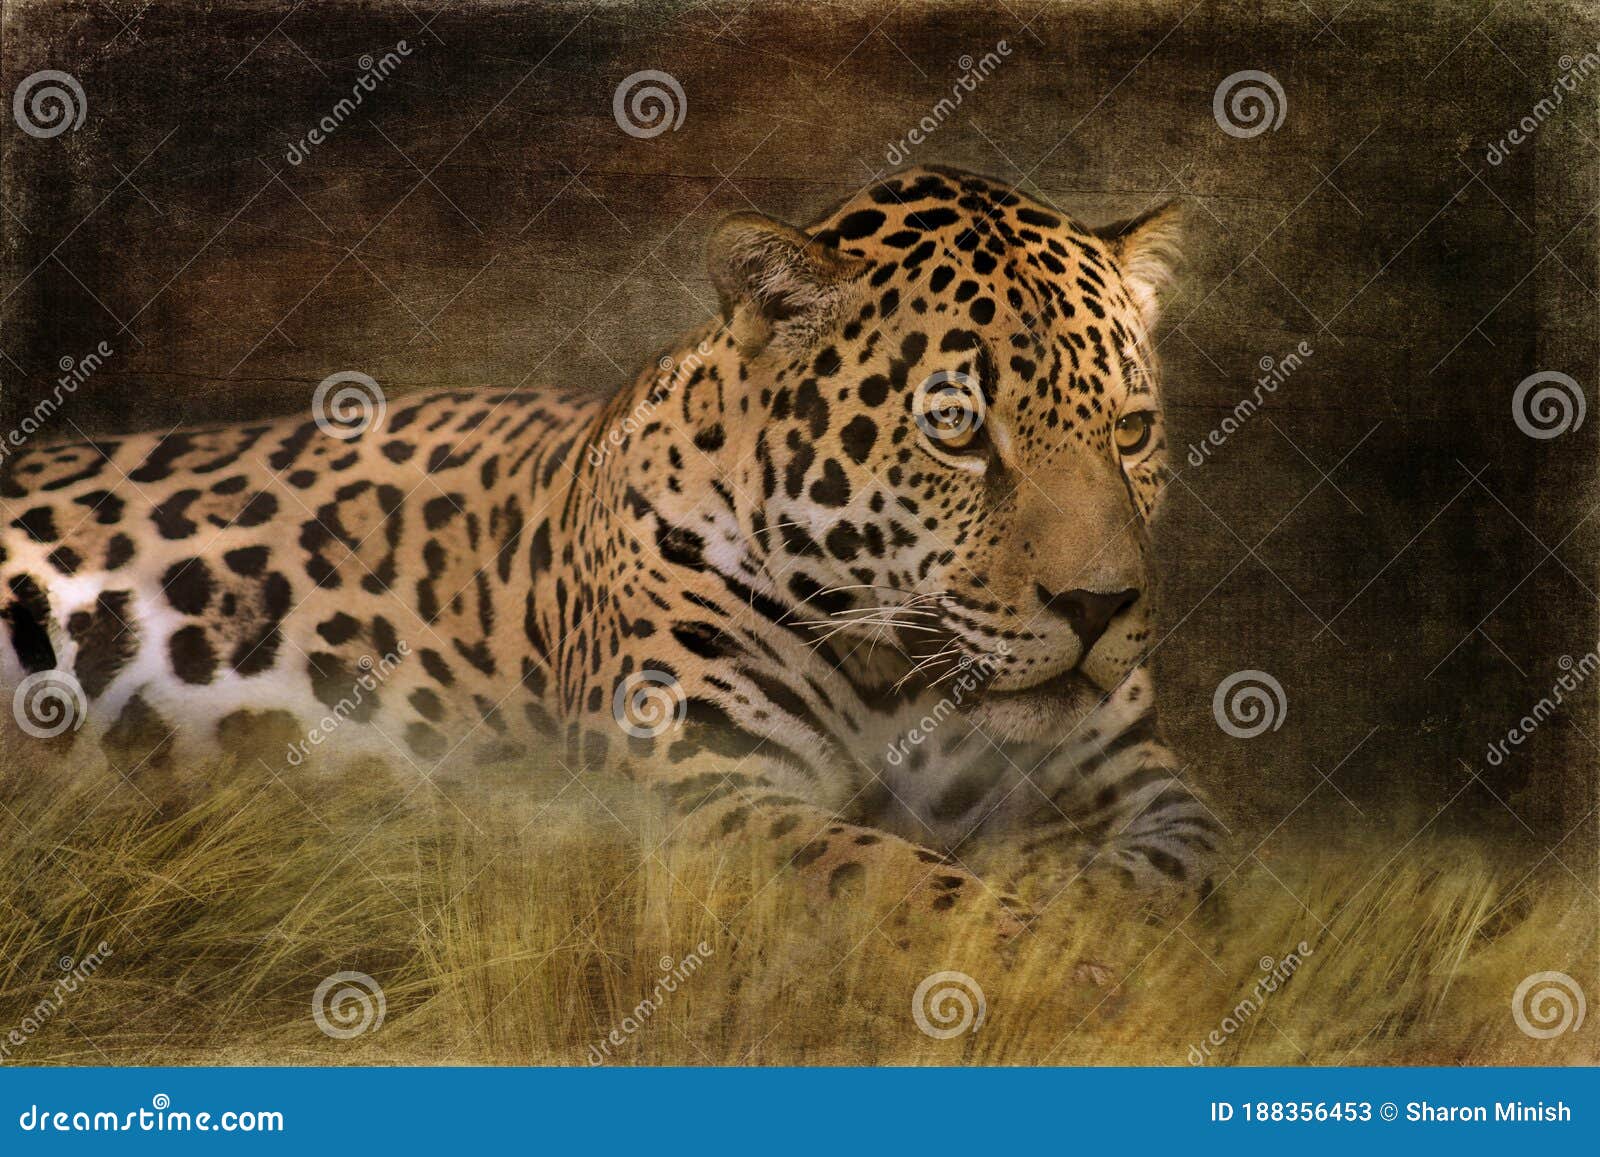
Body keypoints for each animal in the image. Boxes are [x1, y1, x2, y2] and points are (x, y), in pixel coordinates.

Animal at [0, 165, 1218, 937]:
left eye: (1129, 430)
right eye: (955, 429)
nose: (1100, 606)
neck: (900, 681)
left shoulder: (1139, 776)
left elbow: (1183, 862)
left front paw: (1074, 896)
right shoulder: (700, 792)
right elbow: (904, 884)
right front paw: (1062, 963)